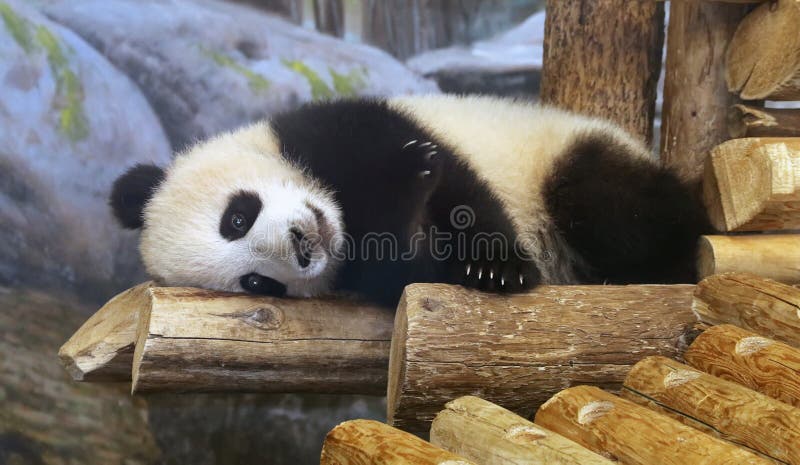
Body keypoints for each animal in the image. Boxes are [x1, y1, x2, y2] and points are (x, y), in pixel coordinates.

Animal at [110, 94, 710, 305]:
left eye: (236, 218)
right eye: (258, 283)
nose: (303, 246)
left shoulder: (336, 126)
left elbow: (458, 188)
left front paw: (497, 268)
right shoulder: (368, 272)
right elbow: (412, 269)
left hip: (563, 151)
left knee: (615, 205)